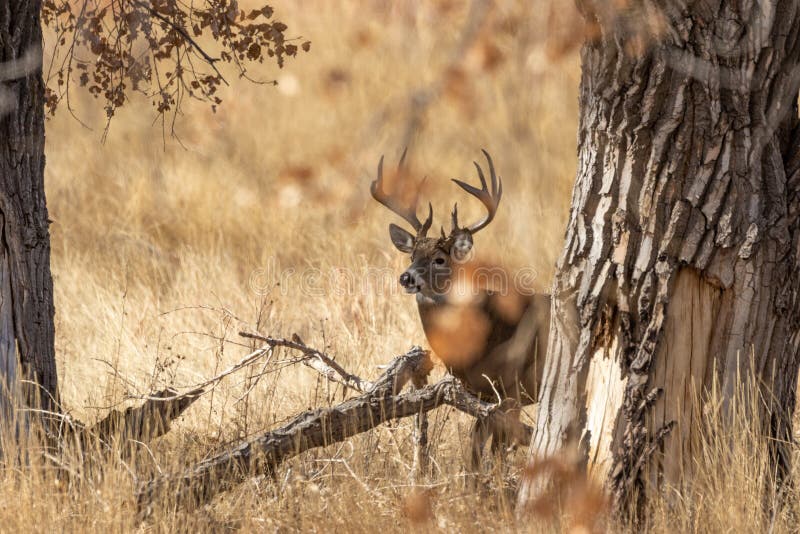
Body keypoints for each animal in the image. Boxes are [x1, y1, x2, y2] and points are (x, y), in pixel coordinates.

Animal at [370, 149, 551, 469]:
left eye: (440, 259)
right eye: (412, 255)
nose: (406, 277)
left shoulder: (512, 389)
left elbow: (496, 452)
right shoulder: (482, 395)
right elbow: (474, 453)